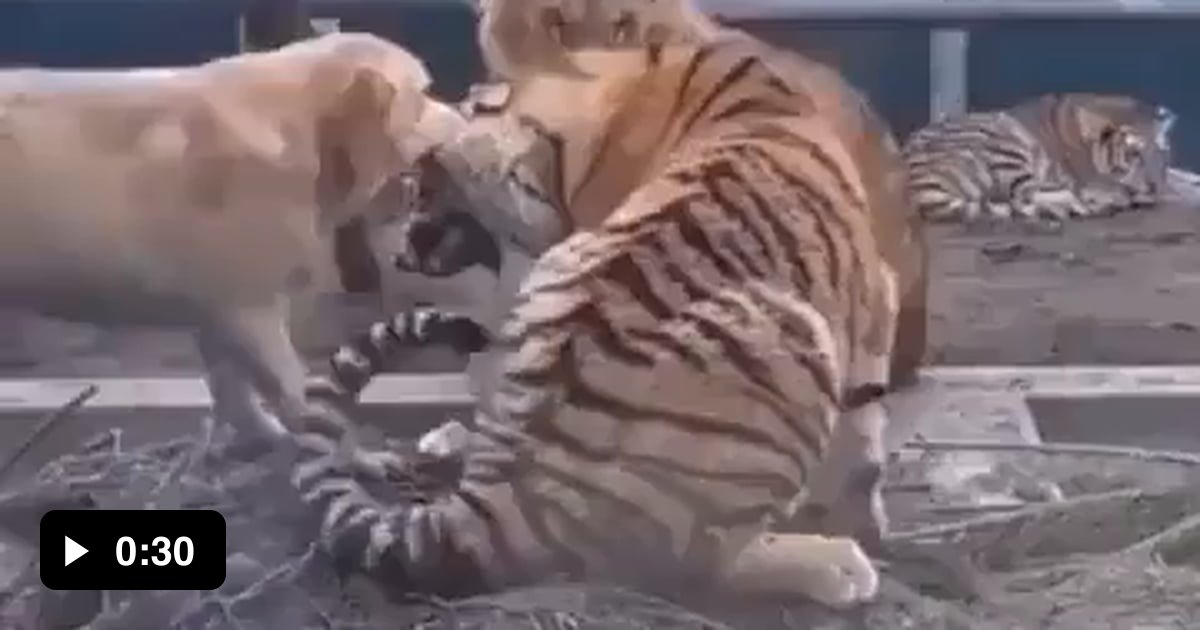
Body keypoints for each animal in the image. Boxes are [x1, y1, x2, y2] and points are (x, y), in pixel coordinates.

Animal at [290, 32, 917, 608]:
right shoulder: (874, 298)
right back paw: (835, 565)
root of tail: (521, 482)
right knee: (703, 562)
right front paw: (861, 521)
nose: (399, 253)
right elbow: (863, 429)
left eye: (421, 190)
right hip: (790, 334)